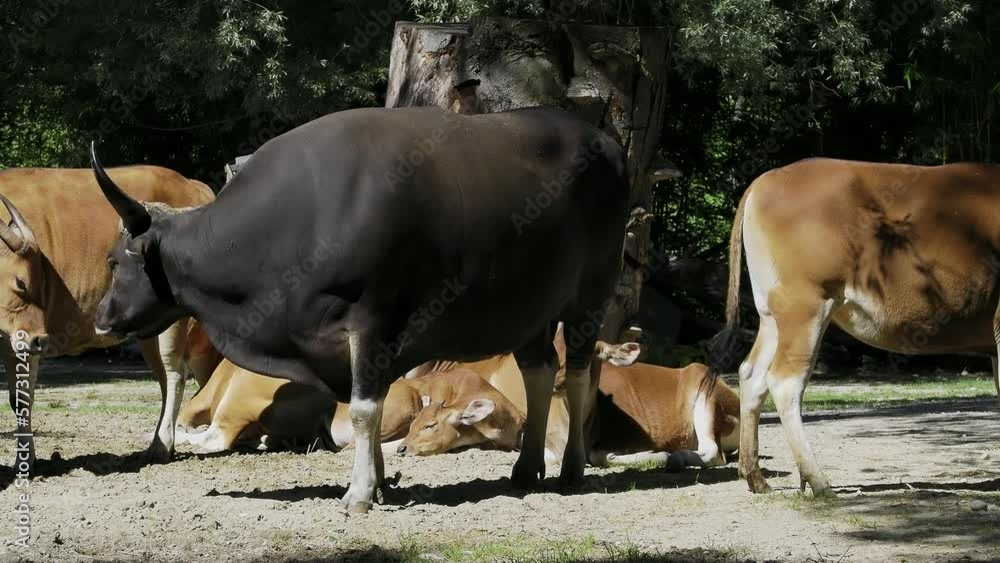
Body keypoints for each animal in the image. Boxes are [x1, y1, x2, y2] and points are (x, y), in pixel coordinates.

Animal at [0, 167, 215, 473]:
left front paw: (24, 461)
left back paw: (161, 445)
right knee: (169, 376)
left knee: (175, 373)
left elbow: (21, 397)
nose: (41, 339)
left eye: (25, 282)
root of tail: (193, 184)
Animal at [89, 105, 631, 513]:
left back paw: (571, 469)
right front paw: (383, 482)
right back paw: (526, 467)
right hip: (530, 312)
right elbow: (371, 407)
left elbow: (367, 409)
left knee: (577, 374)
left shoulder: (374, 319)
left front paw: (361, 492)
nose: (101, 318)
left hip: (590, 296)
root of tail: (606, 144)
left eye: (115, 260)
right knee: (539, 371)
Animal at [706, 157, 1000, 496]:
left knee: (752, 374)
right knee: (784, 382)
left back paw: (755, 476)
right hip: (805, 305)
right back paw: (818, 480)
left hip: (772, 315)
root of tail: (764, 181)